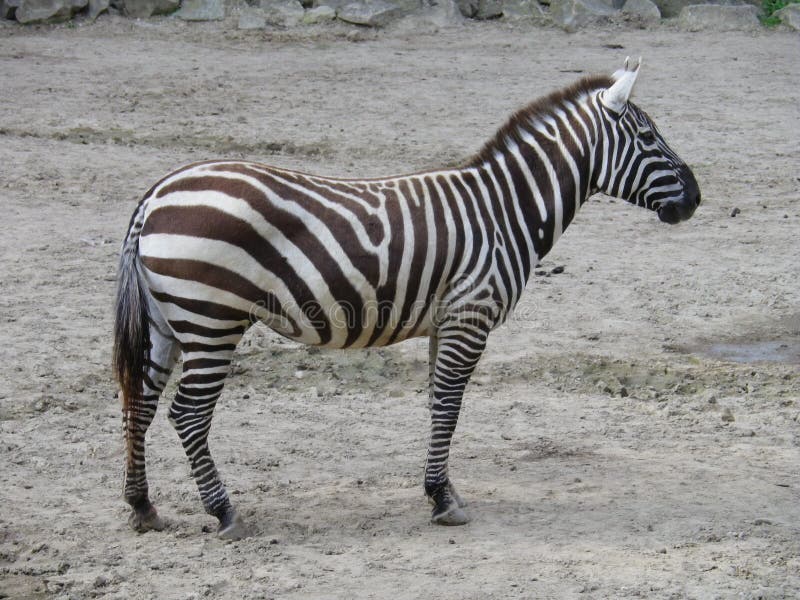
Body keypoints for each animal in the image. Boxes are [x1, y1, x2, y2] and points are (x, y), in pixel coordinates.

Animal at [114, 58, 700, 540]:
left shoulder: (447, 320)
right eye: (647, 136)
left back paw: (142, 507)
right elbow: (451, 404)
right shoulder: (470, 314)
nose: (696, 198)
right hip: (212, 319)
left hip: (168, 322)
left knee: (140, 401)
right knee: (188, 413)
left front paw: (440, 489)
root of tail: (156, 194)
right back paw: (224, 512)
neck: (505, 210)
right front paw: (442, 500)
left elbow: (438, 403)